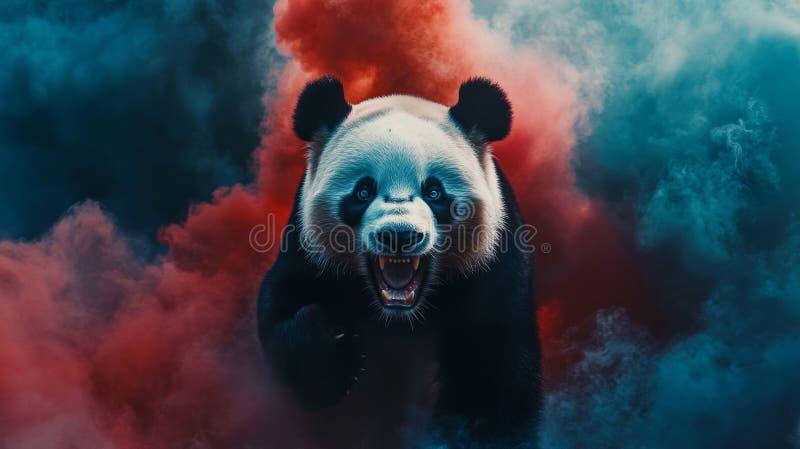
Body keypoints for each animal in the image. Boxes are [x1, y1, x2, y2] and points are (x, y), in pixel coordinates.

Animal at [258, 76, 541, 448]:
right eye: (363, 191)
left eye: (434, 192)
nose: (398, 235)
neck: (399, 316)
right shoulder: (308, 249)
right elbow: (281, 311)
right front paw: (335, 348)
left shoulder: (492, 263)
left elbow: (492, 373)